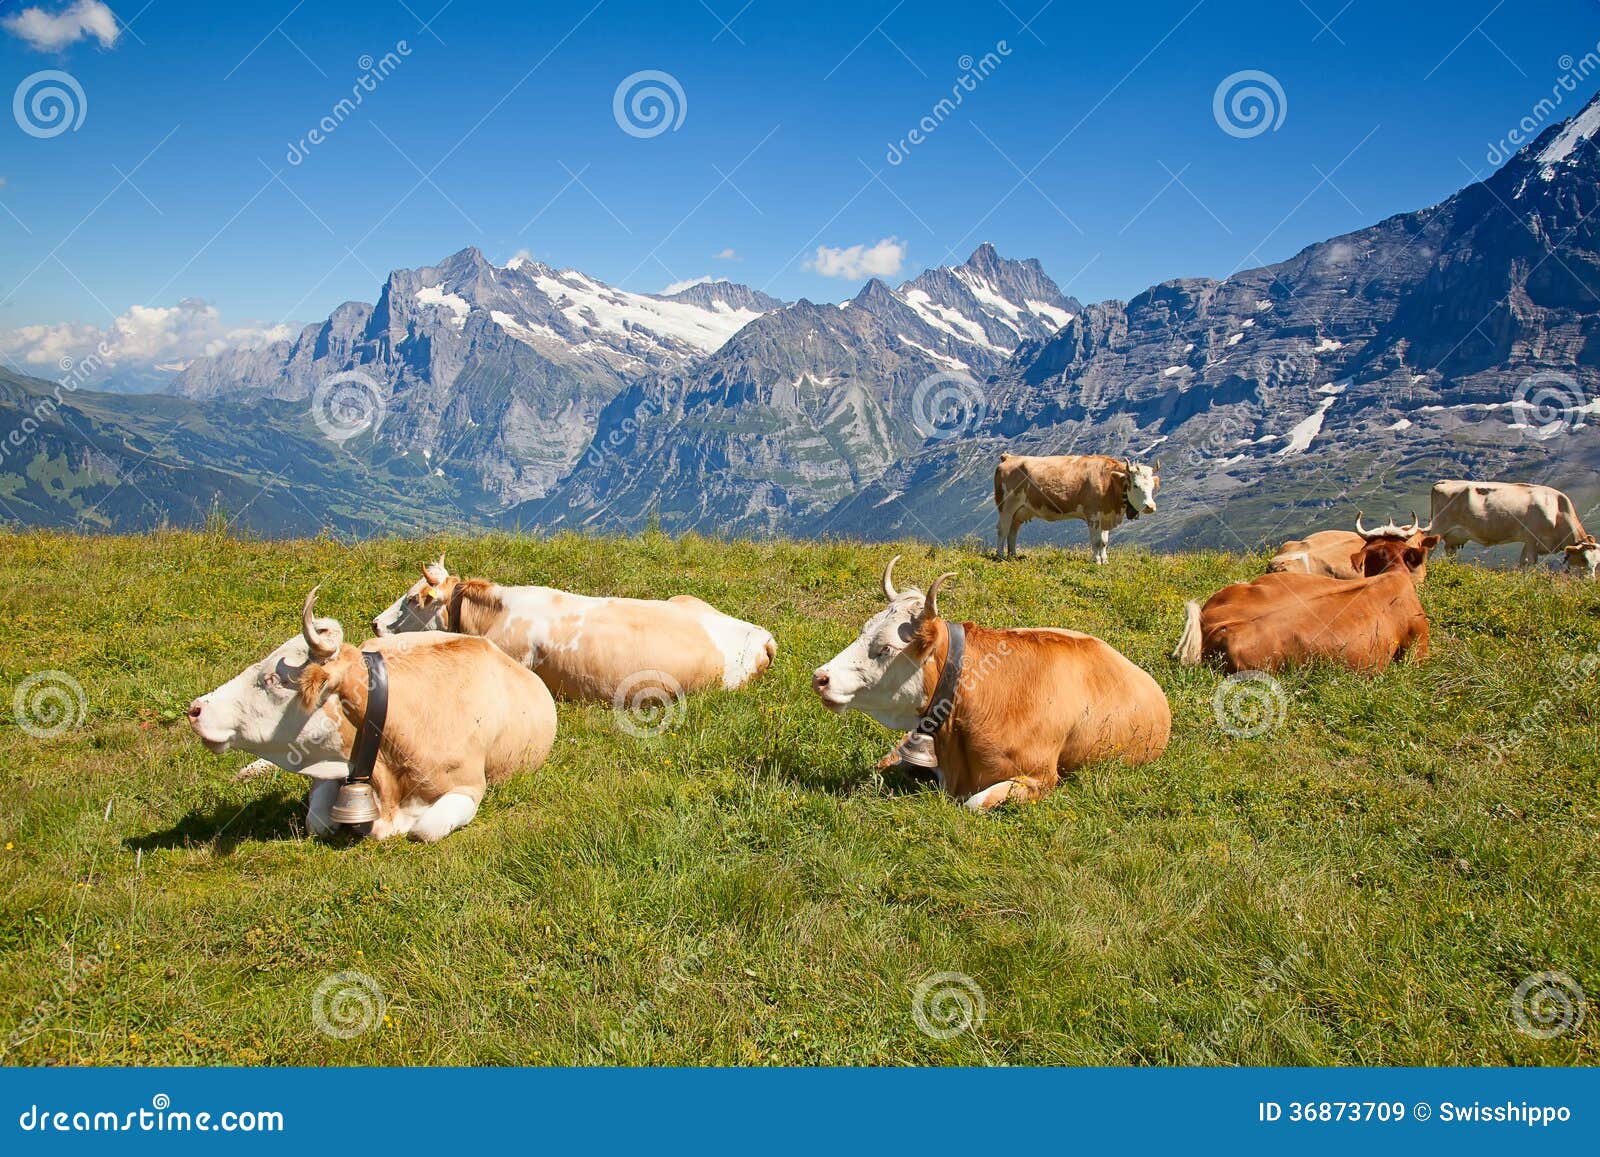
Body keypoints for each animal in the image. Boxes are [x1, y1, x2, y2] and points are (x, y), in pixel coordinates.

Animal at [994, 453, 1160, 564]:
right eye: (1136, 485)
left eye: (1152, 486)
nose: (1150, 507)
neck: (1109, 481)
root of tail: (1010, 457)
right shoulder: (1093, 515)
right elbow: (1096, 541)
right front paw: (1096, 561)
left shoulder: (1106, 515)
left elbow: (1104, 541)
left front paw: (1105, 561)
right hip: (1006, 506)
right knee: (1003, 529)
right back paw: (1000, 555)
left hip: (1019, 511)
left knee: (1013, 531)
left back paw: (1013, 555)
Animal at [1428, 480, 1591, 568]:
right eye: (1584, 560)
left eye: (1596, 563)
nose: (1591, 581)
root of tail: (1445, 482)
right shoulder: (1532, 537)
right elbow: (1532, 561)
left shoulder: (1528, 542)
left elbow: (1523, 561)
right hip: (1439, 525)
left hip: (1454, 534)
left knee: (1450, 551)